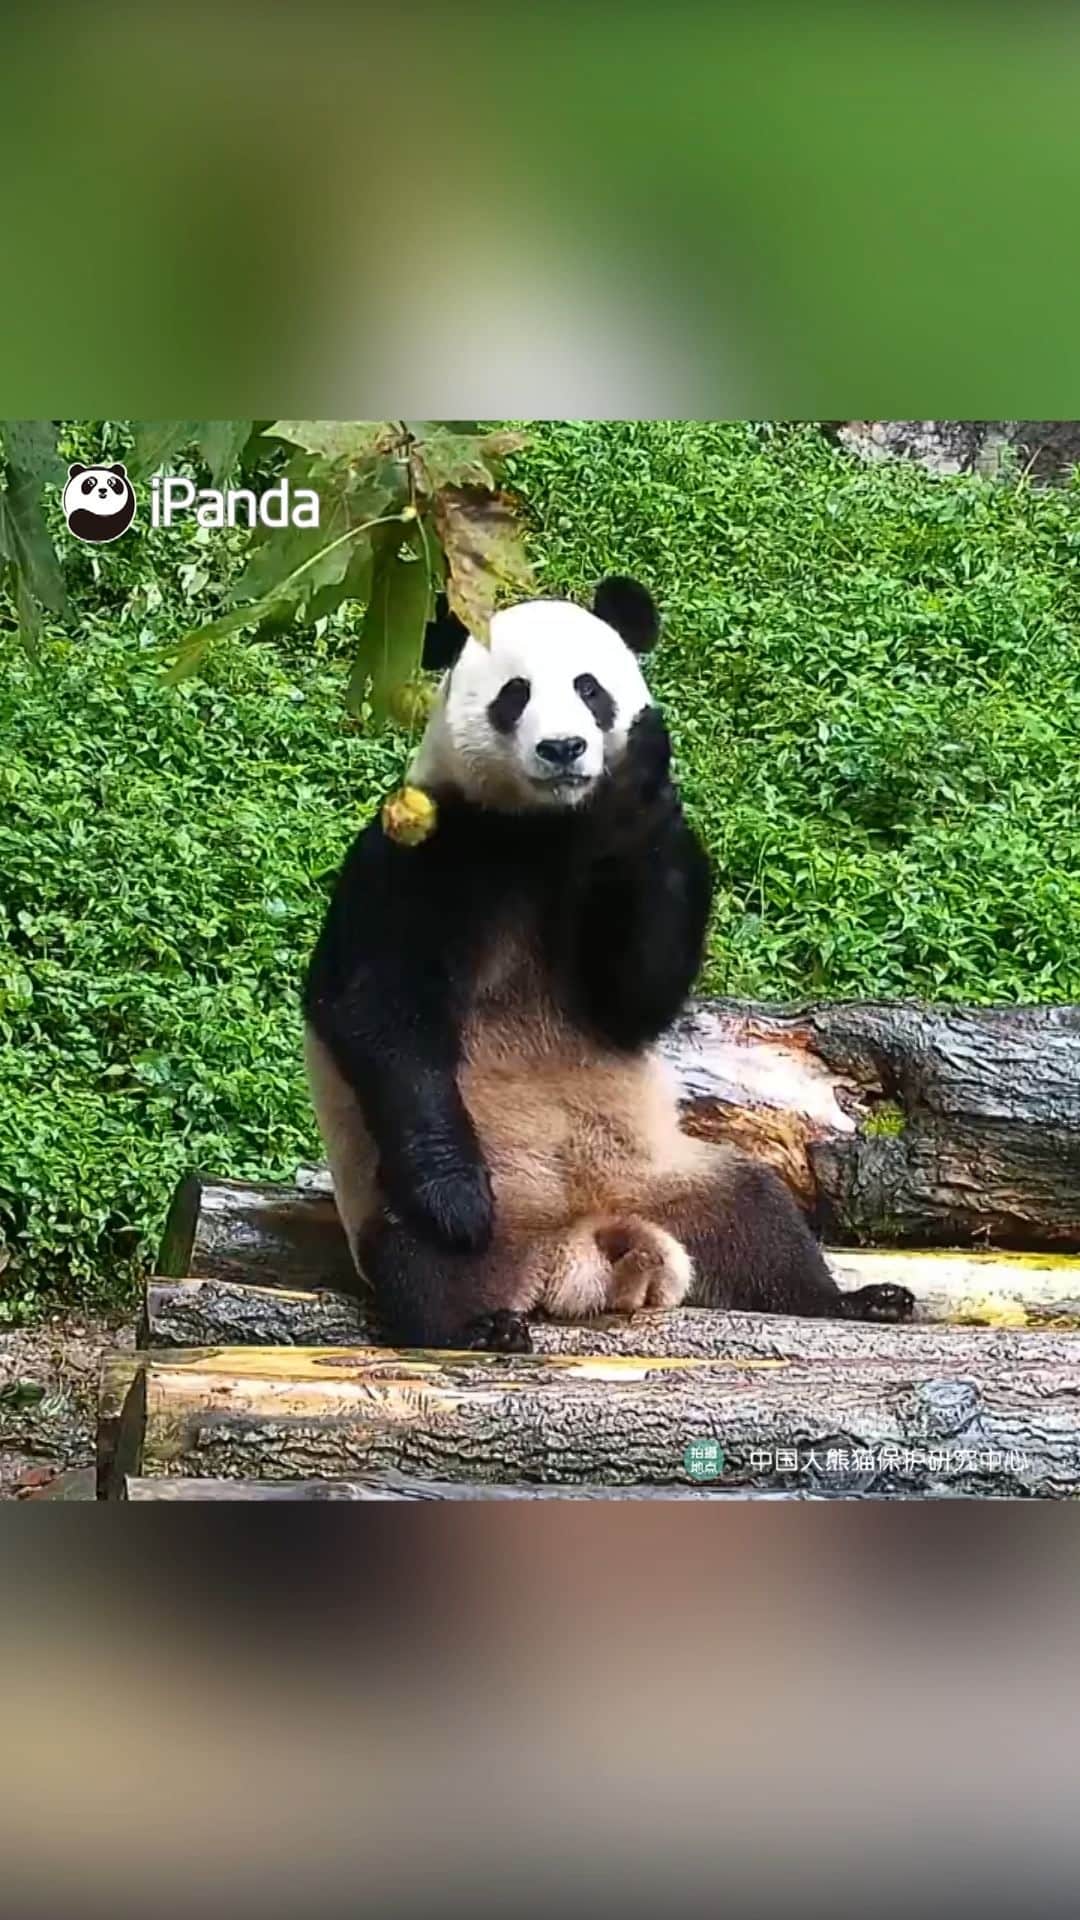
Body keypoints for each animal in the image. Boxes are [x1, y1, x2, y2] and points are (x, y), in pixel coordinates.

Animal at [303, 576, 914, 1351]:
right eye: (514, 694)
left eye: (590, 688)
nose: (564, 748)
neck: (543, 828)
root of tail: (573, 1247)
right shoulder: (424, 854)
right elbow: (376, 1007)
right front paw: (456, 1198)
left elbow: (634, 993)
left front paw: (646, 772)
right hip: (409, 1198)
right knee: (421, 1260)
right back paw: (478, 1323)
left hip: (670, 1178)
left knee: (758, 1217)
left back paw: (855, 1300)